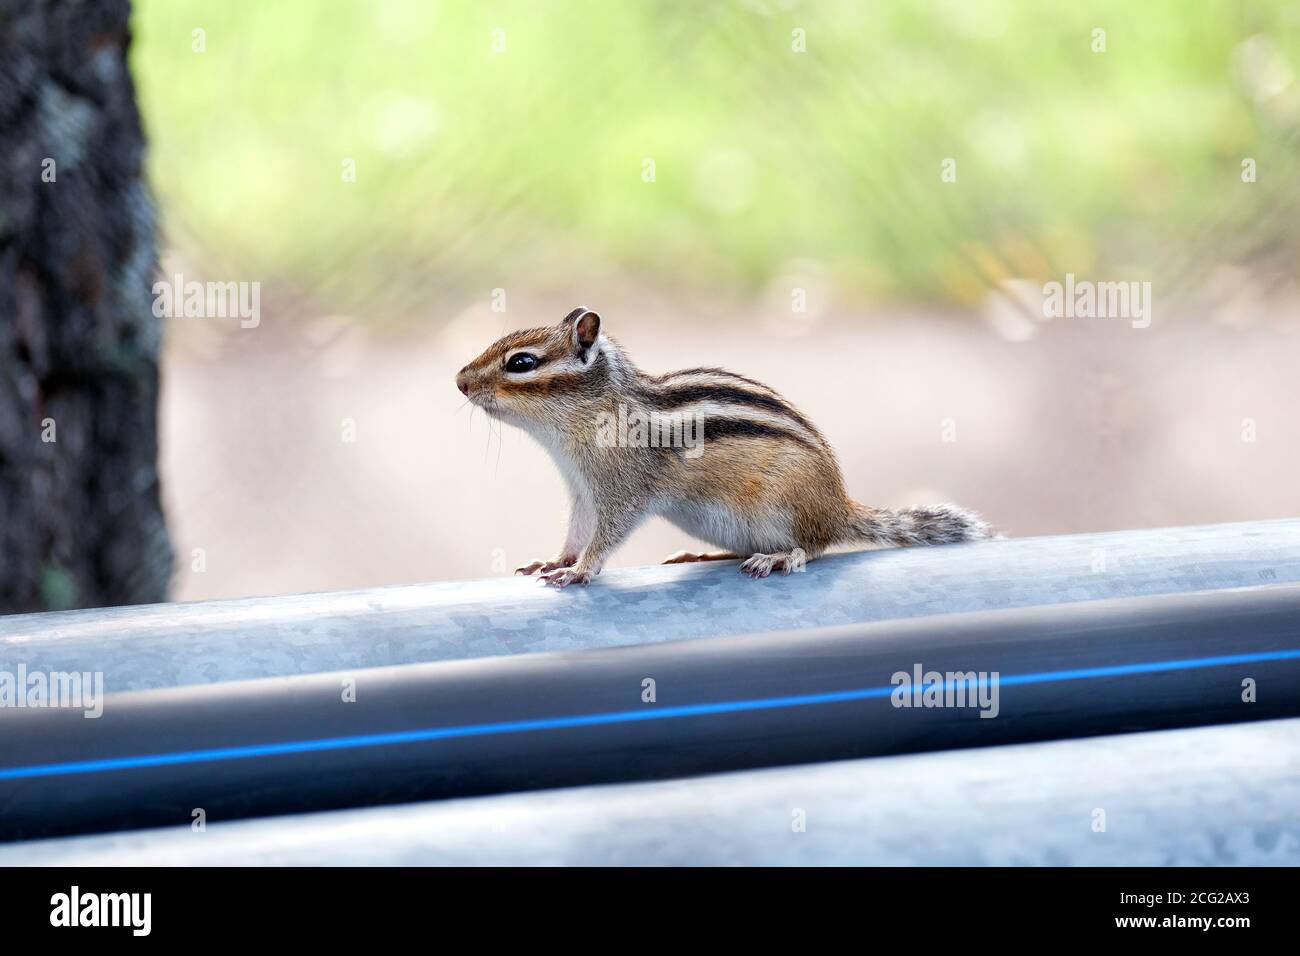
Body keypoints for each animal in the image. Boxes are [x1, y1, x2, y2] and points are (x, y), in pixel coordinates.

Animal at [456, 307, 991, 588]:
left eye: (522, 362)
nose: (460, 382)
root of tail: (839, 504)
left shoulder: (624, 489)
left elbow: (608, 533)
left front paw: (582, 570)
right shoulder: (581, 489)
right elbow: (577, 529)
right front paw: (557, 560)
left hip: (786, 506)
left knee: (816, 546)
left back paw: (781, 557)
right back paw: (705, 557)